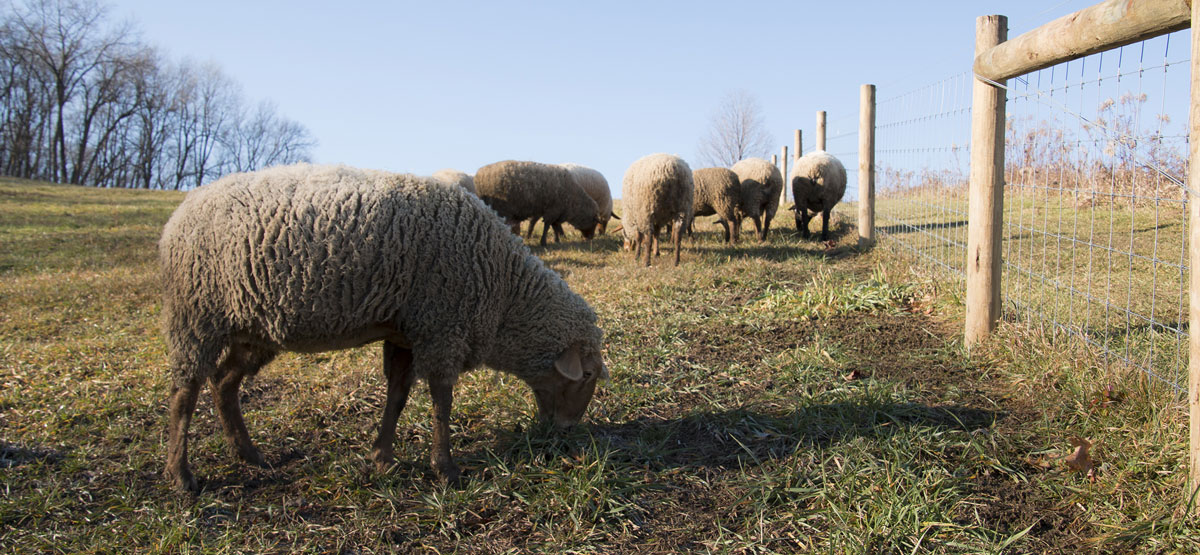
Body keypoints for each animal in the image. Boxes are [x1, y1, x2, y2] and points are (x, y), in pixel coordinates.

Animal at [159, 163, 608, 492]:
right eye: (585, 374)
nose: (567, 430)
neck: (503, 291)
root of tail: (183, 210)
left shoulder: (405, 333)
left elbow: (398, 396)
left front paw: (383, 458)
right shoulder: (441, 329)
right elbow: (441, 402)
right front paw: (445, 468)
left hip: (250, 327)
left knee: (223, 382)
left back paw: (248, 454)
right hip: (197, 316)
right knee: (185, 393)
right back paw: (181, 476)